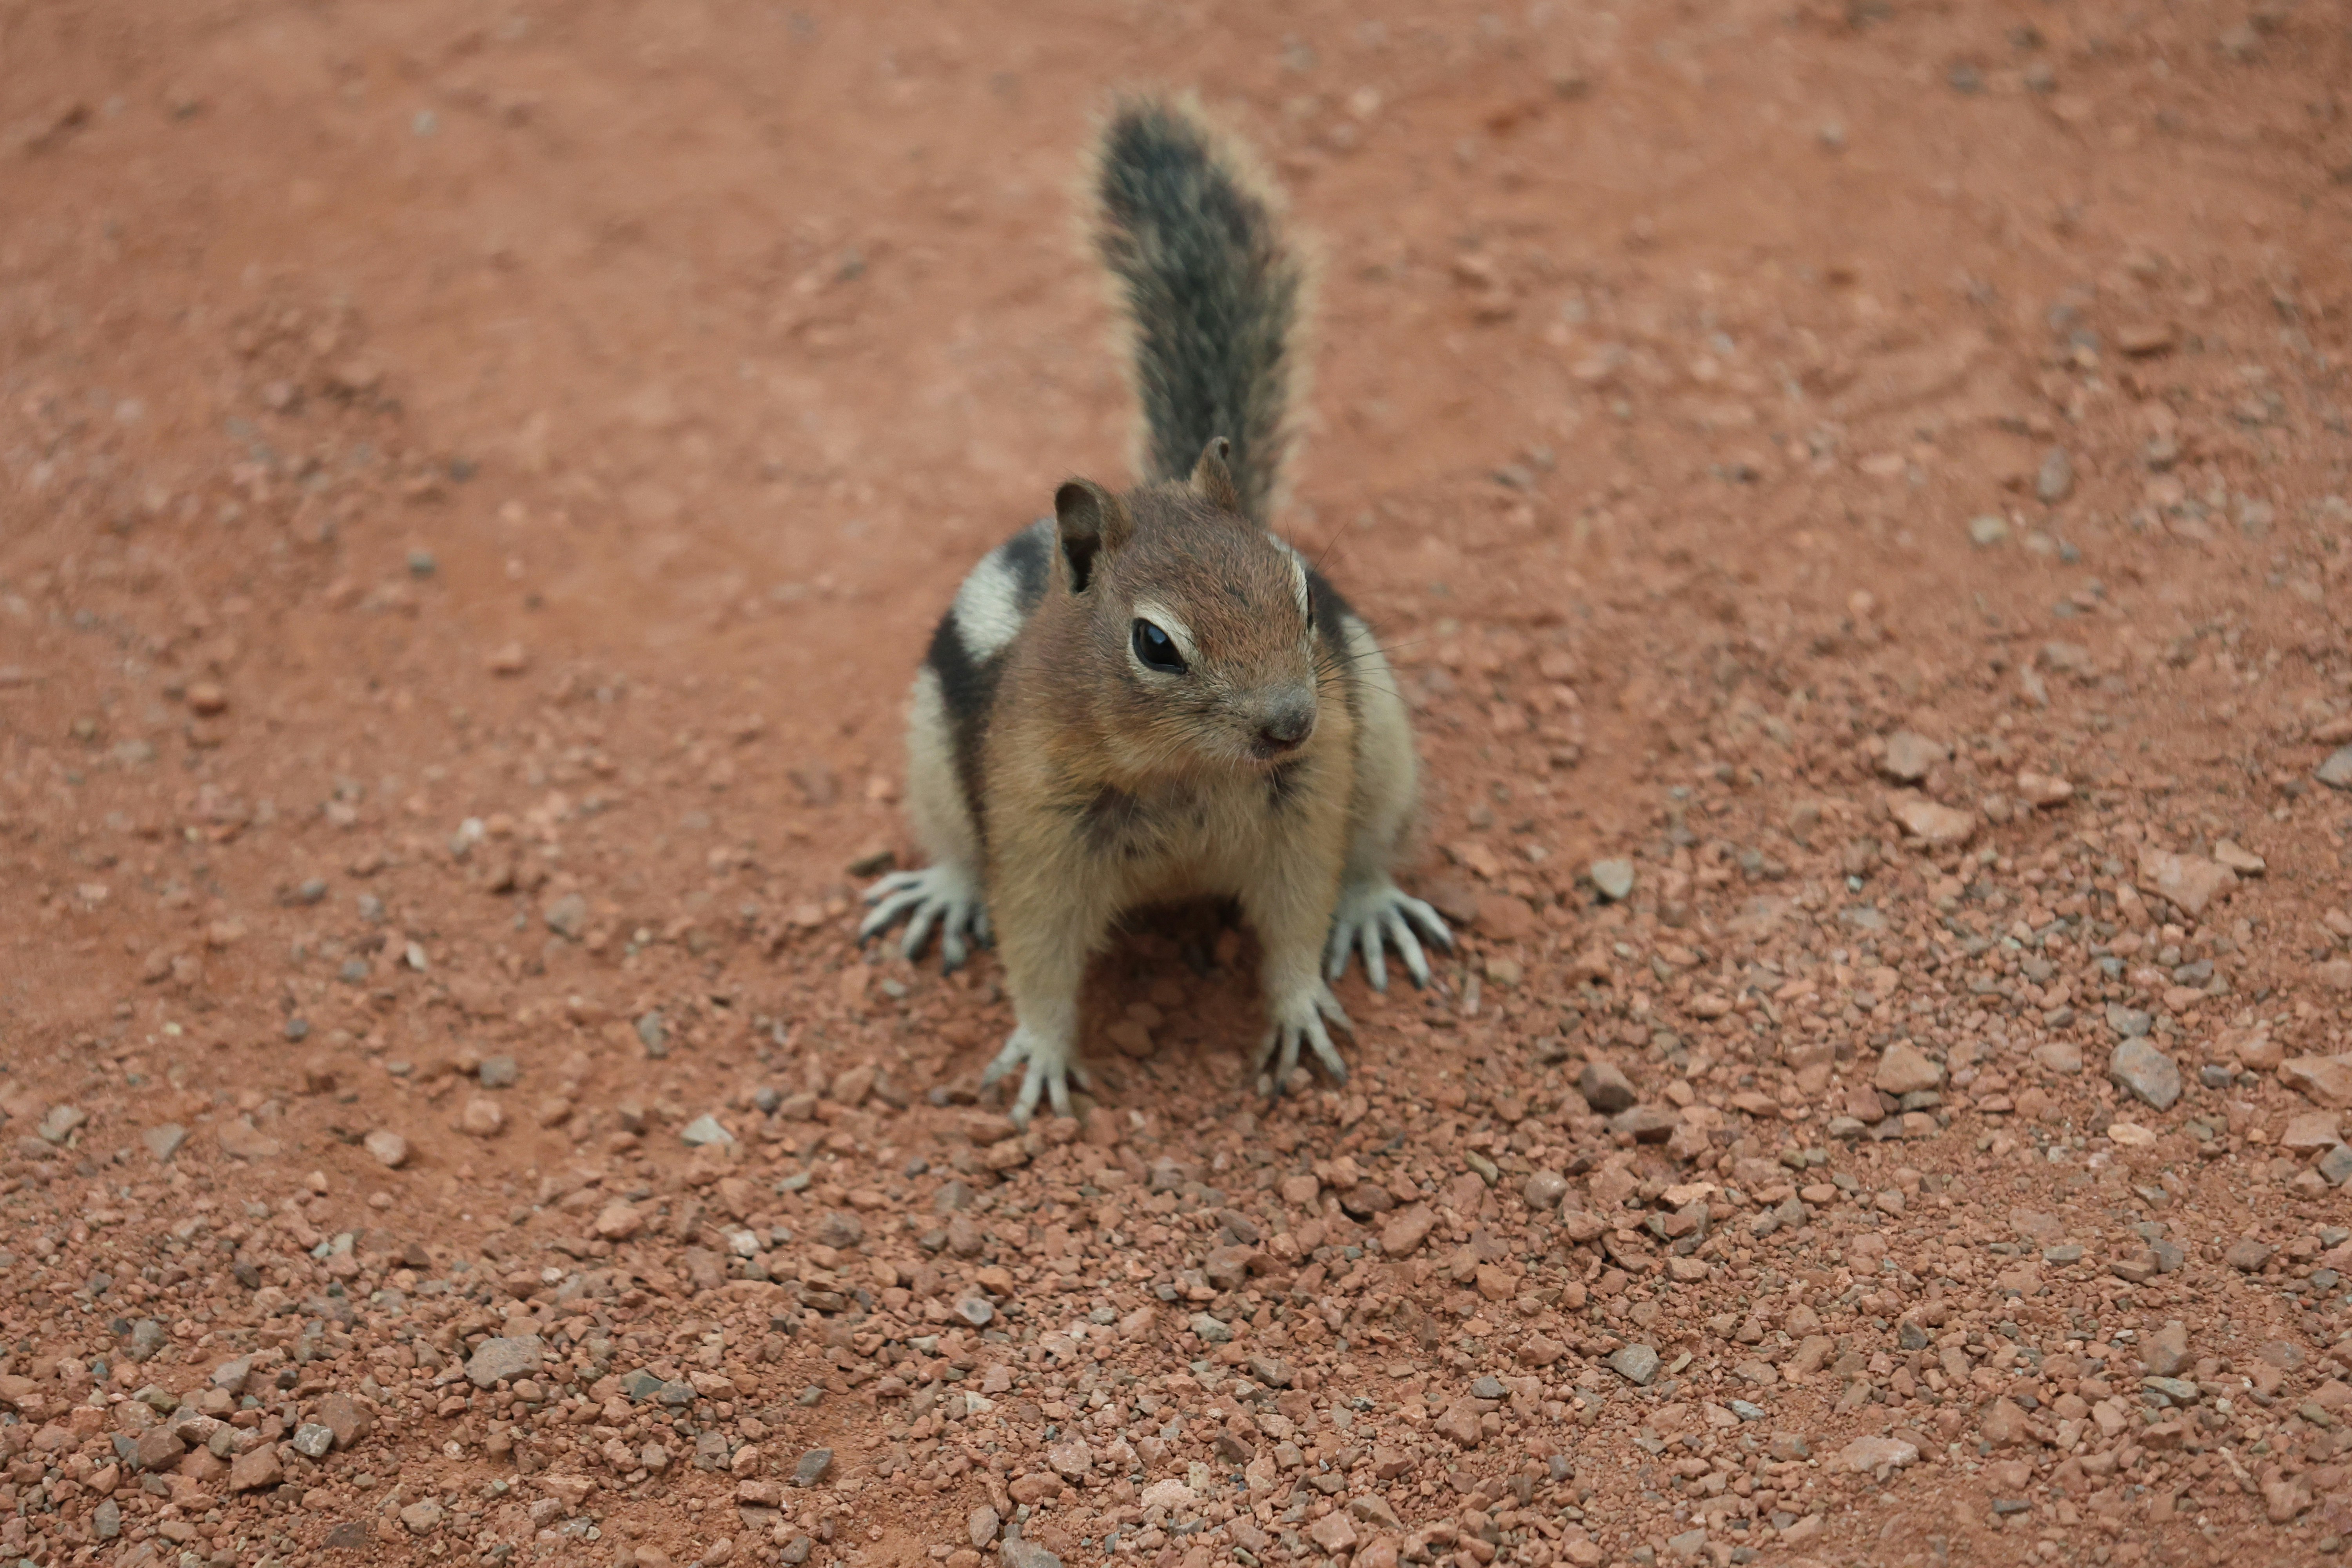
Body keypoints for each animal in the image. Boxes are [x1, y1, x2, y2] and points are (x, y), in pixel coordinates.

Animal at [860, 94, 1451, 1122]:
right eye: (1155, 643)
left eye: (1303, 590)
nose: (1292, 722)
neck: (1185, 772)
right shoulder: (1038, 826)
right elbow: (1037, 949)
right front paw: (1040, 1052)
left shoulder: (1305, 804)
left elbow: (1299, 911)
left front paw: (1300, 1008)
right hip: (935, 769)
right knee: (960, 856)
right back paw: (942, 890)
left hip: (1382, 749)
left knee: (1370, 848)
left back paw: (1377, 905)